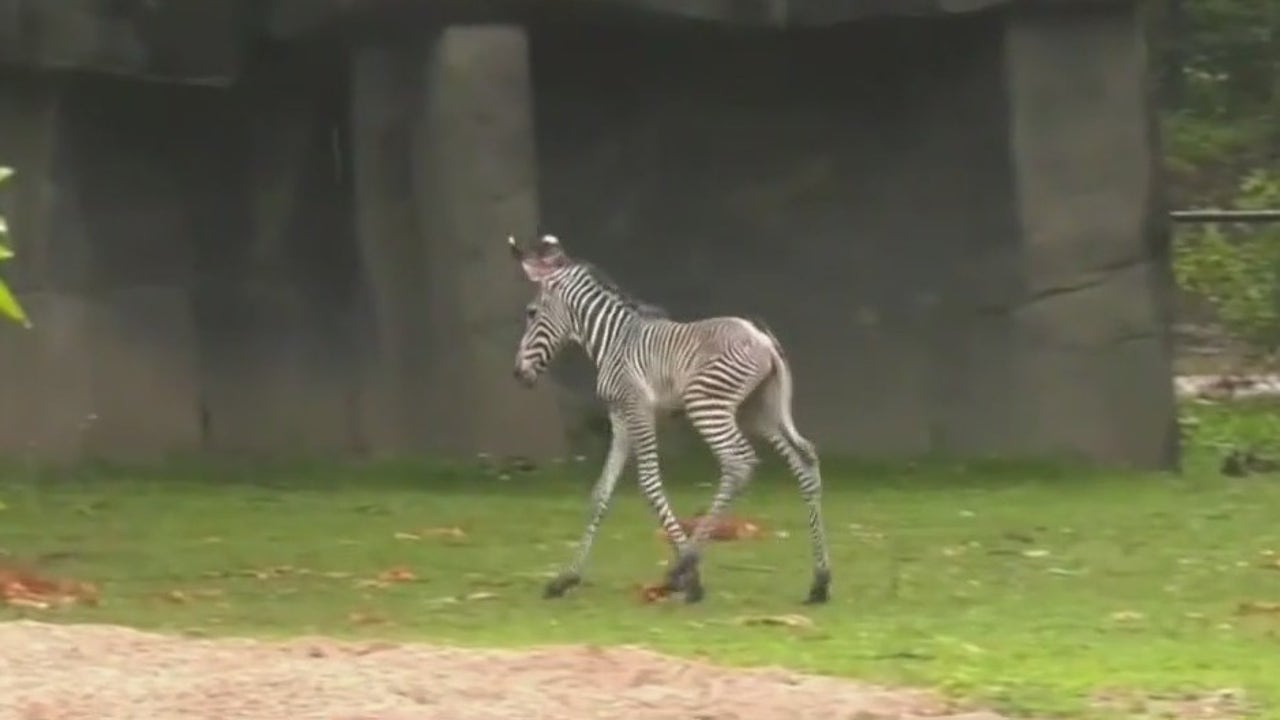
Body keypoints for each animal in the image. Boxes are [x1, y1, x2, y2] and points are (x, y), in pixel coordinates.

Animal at [508, 233, 831, 605]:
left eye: (531, 313)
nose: (518, 374)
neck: (613, 340)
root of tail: (761, 339)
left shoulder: (639, 411)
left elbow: (650, 485)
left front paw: (690, 578)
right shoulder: (620, 417)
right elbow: (601, 493)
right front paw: (565, 578)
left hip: (707, 405)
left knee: (739, 463)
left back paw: (683, 565)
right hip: (761, 412)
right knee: (804, 459)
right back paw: (820, 581)